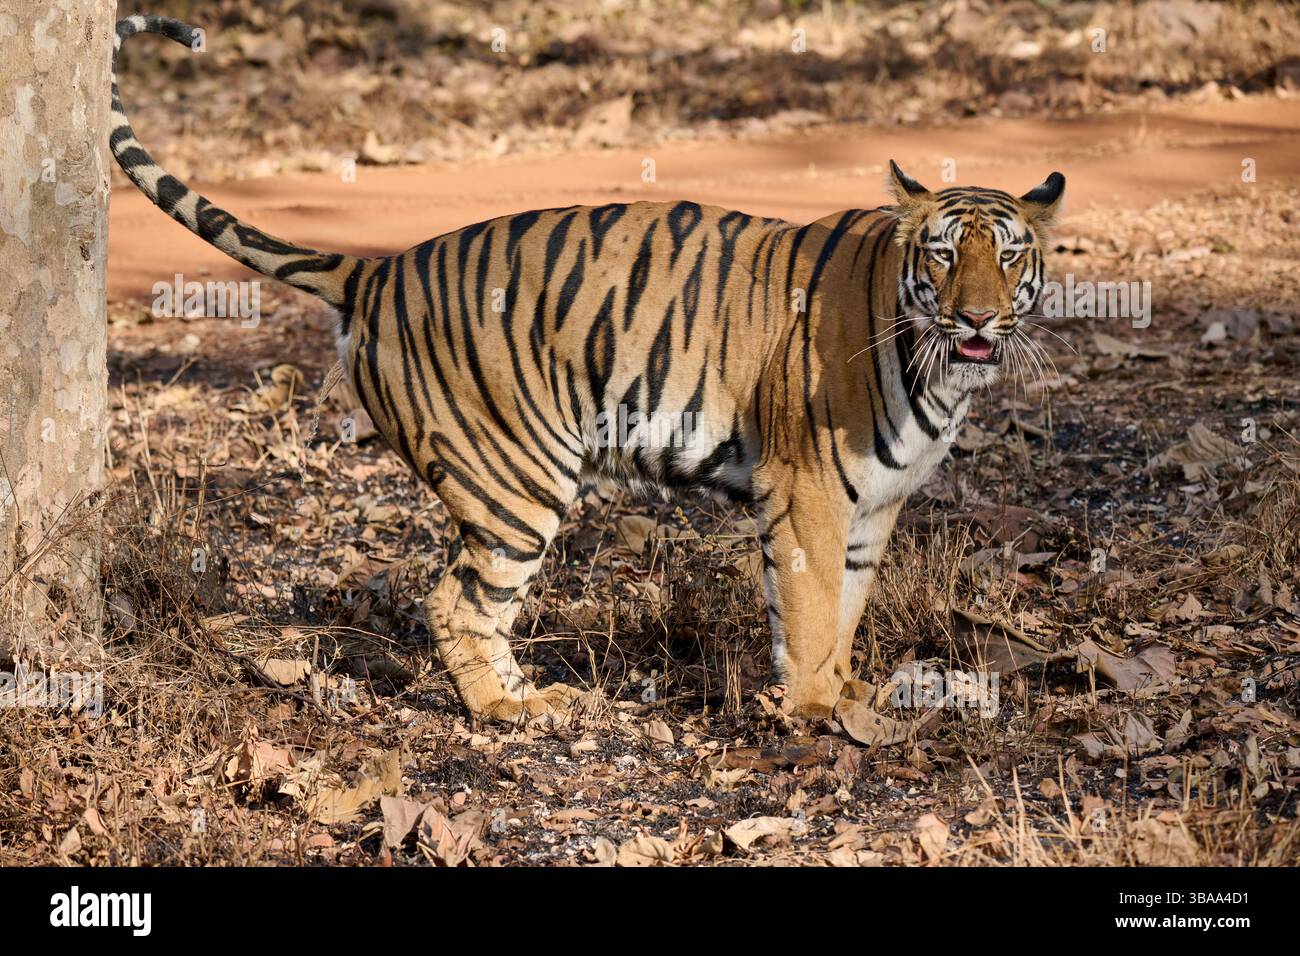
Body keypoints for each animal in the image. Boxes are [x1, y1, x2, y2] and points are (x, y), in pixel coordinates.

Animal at [111, 15, 1064, 723]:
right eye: (943, 255)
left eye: (1011, 256)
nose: (977, 317)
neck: (937, 372)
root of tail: (373, 270)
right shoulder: (809, 492)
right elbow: (809, 605)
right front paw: (817, 713)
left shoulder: (871, 503)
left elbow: (845, 610)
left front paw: (846, 690)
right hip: (517, 479)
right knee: (456, 601)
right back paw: (509, 711)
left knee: (470, 599)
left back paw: (530, 696)